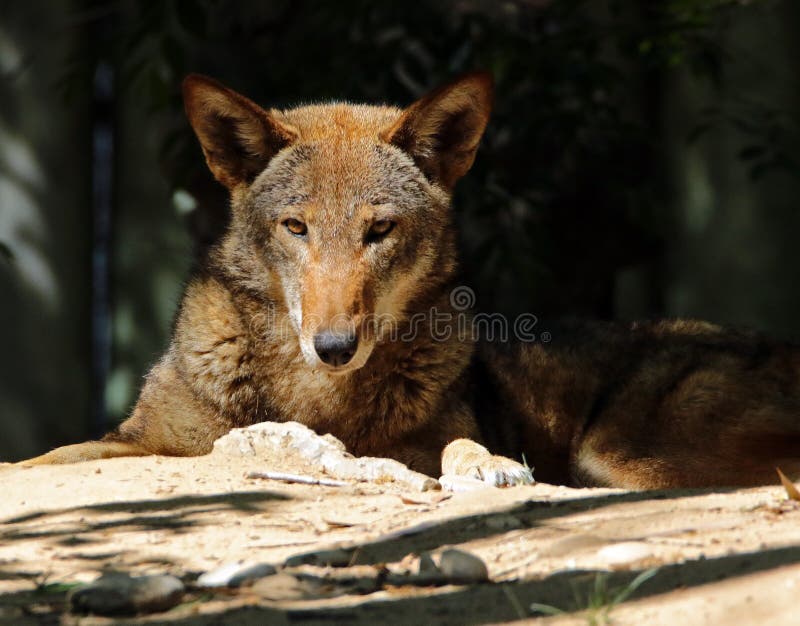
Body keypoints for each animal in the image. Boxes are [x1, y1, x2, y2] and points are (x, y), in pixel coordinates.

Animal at [21, 73, 800, 489]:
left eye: (380, 231)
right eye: (296, 228)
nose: (334, 346)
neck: (316, 400)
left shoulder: (432, 438)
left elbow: (463, 448)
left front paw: (486, 464)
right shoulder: (142, 438)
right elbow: (45, 457)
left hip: (618, 459)